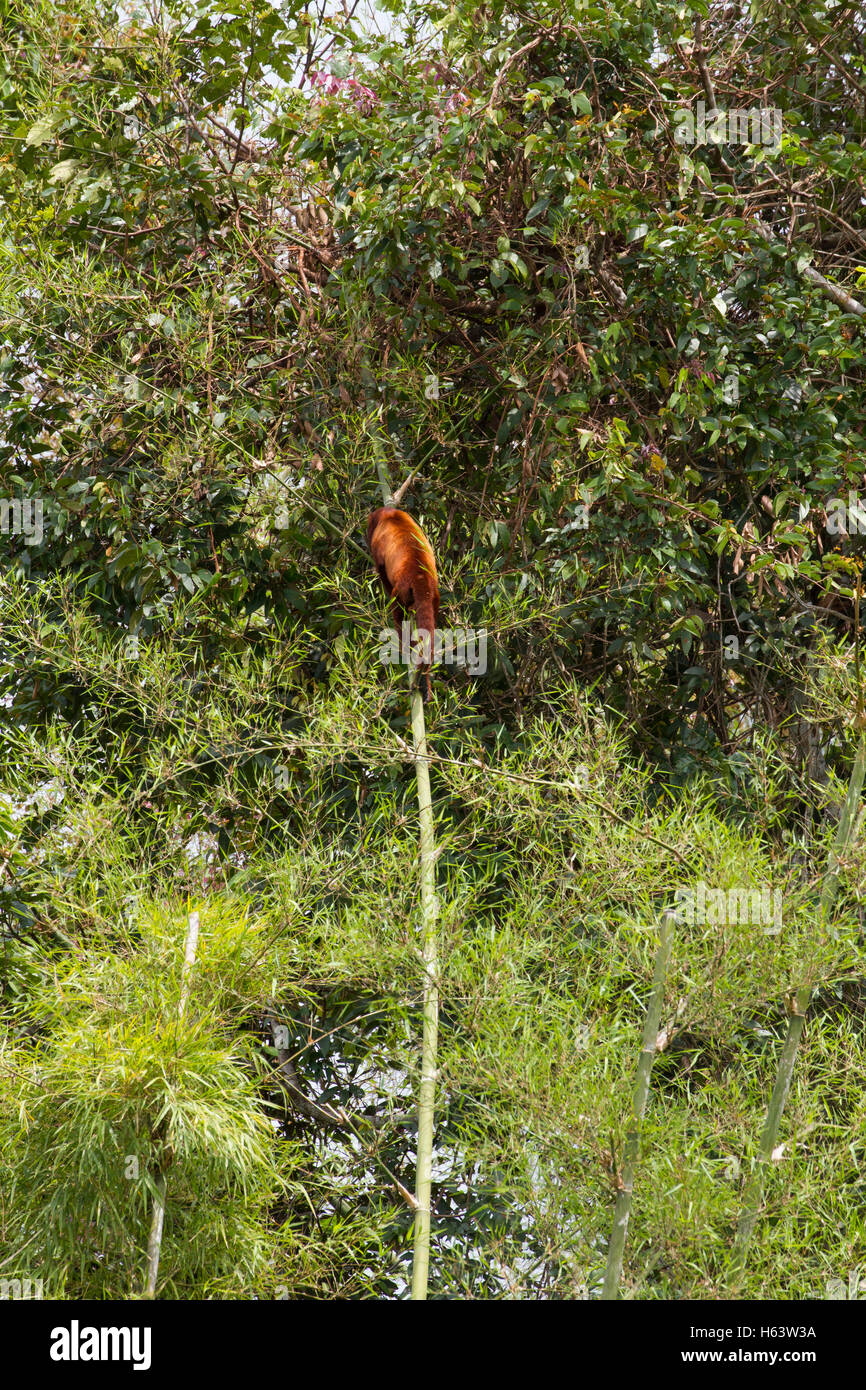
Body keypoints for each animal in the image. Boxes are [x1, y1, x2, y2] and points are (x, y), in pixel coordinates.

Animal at [367, 506, 440, 701]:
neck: (389, 515)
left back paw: (404, 645)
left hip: (403, 588)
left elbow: (381, 569)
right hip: (435, 595)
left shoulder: (377, 545)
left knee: (397, 609)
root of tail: (421, 577)